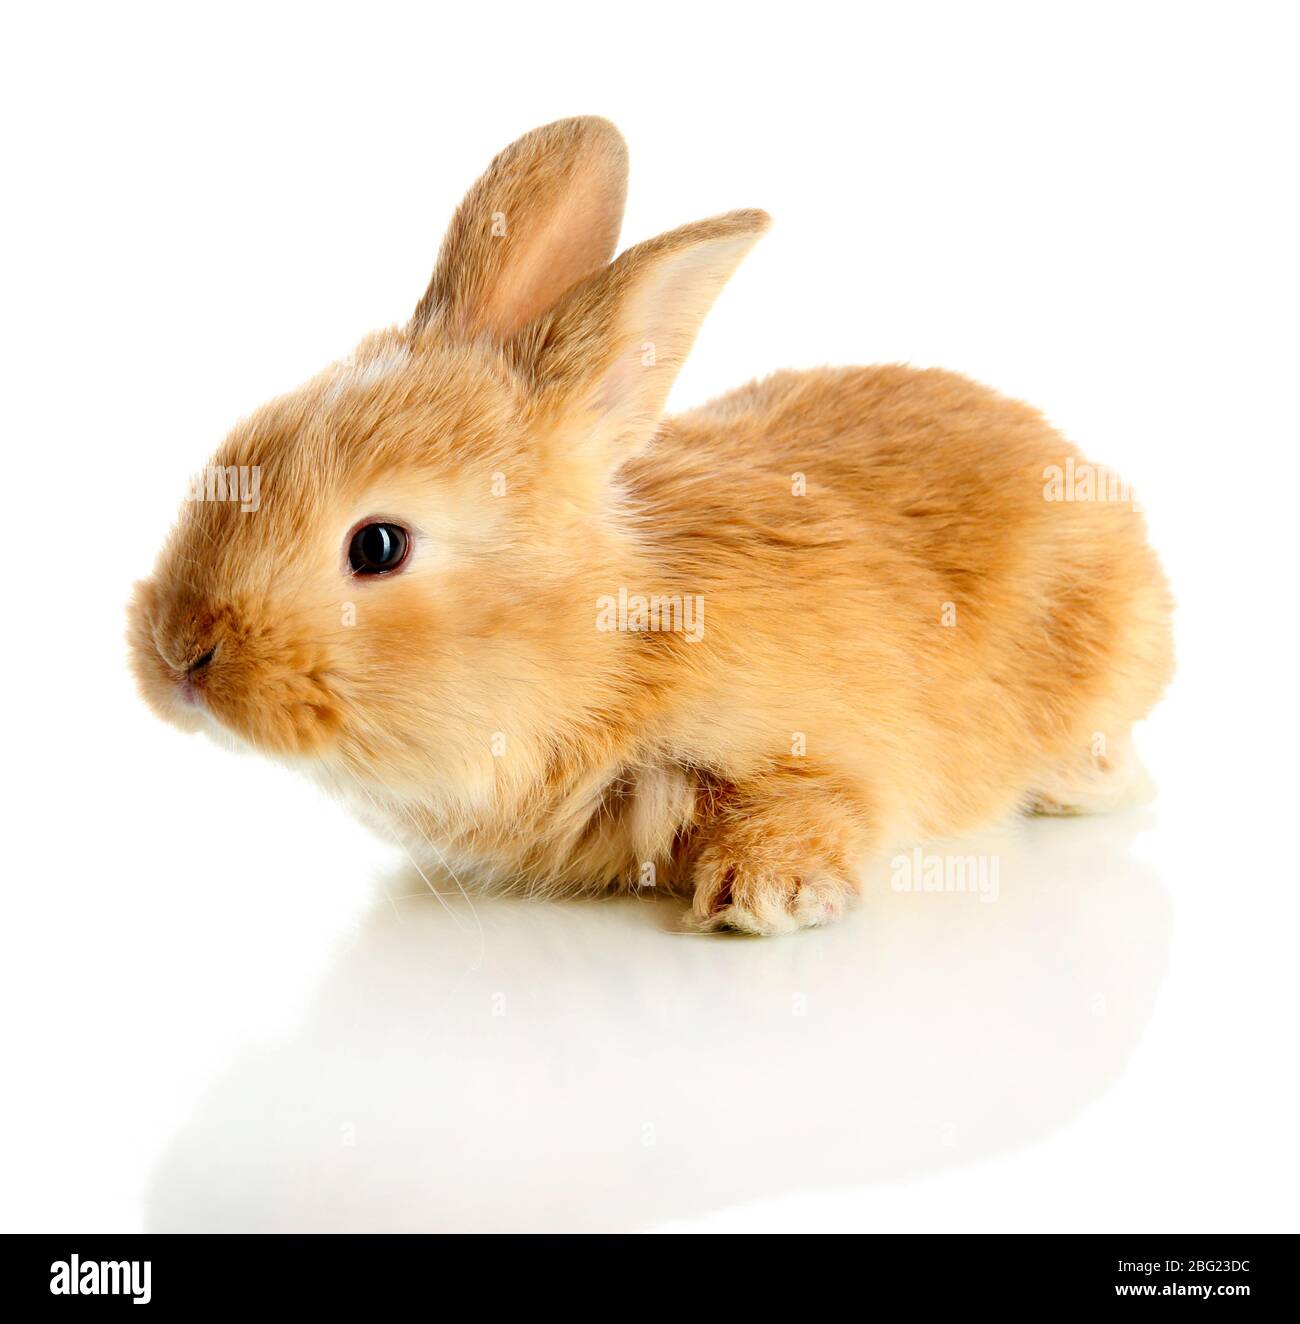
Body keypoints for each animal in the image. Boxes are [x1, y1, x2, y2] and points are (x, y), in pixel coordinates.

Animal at [128, 116, 1174, 935]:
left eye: (377, 545)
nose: (180, 655)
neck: (614, 636)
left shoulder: (821, 744)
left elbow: (816, 804)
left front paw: (768, 898)